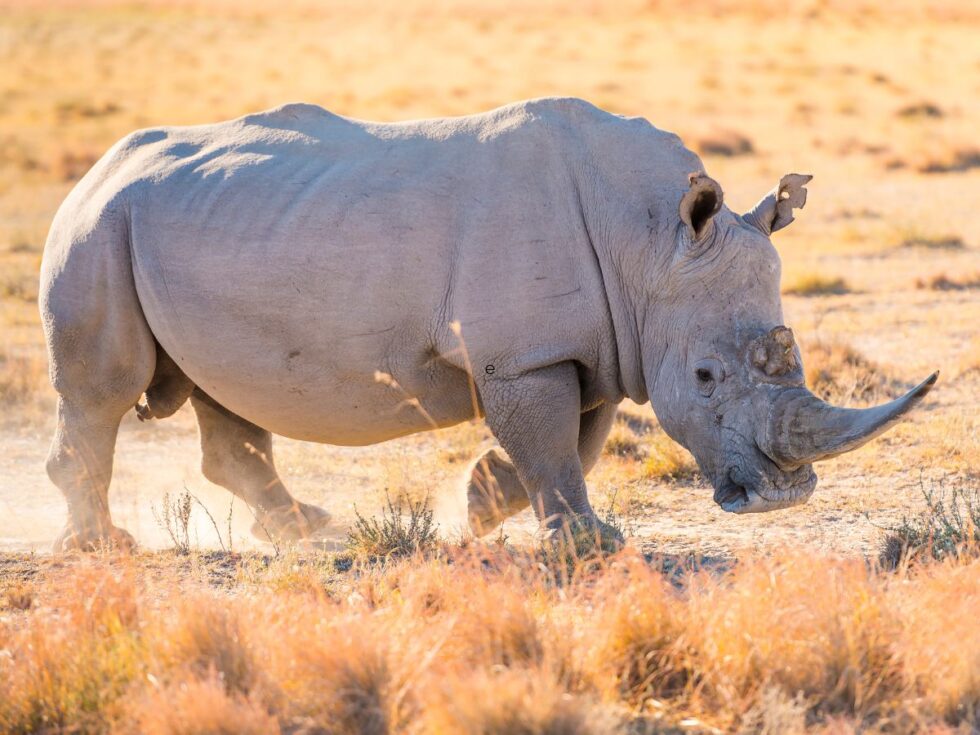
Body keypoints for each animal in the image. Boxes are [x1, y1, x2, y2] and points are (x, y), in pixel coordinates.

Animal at [39, 97, 936, 551]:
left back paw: (306, 529)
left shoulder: (588, 346)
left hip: (181, 228)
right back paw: (103, 548)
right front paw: (591, 545)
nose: (782, 498)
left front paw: (477, 507)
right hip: (98, 228)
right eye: (706, 377)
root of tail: (96, 169)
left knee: (224, 393)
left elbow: (572, 441)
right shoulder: (526, 354)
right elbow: (553, 445)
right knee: (103, 391)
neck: (651, 242)